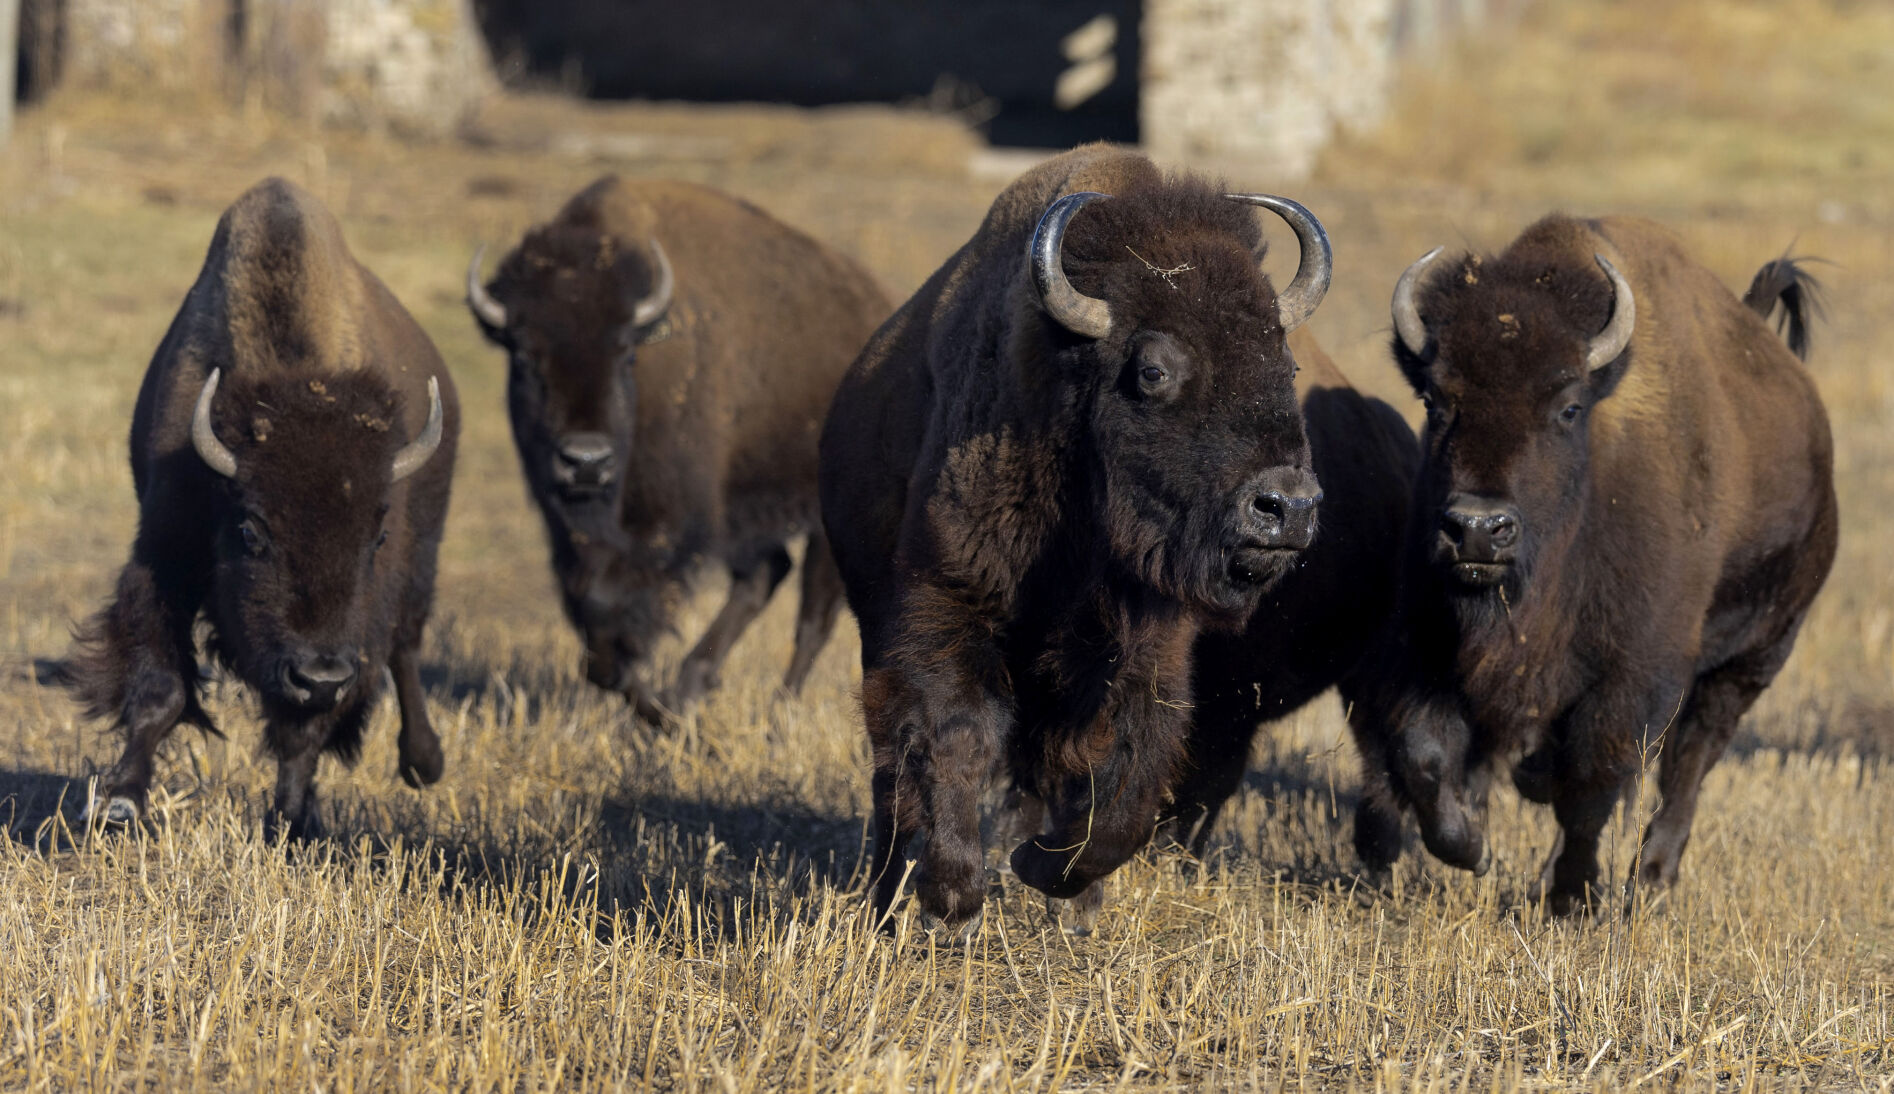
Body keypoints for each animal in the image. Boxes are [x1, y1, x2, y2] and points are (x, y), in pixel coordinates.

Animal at [69, 177, 458, 838]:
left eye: (376, 536)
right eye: (251, 530)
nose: (319, 676)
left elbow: (305, 732)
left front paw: (294, 823)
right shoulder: (165, 552)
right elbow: (159, 685)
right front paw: (120, 804)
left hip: (422, 560)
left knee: (405, 646)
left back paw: (422, 763)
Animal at [468, 176, 890, 718]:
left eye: (626, 352)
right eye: (523, 356)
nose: (587, 461)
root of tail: (878, 307)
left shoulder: (671, 521)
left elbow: (616, 610)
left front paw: (660, 713)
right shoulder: (571, 533)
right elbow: (595, 630)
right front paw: (662, 705)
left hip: (824, 522)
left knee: (813, 617)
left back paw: (774, 714)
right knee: (767, 574)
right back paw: (693, 683)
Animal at [820, 143, 1335, 932]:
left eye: (1287, 362)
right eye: (1152, 370)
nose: (1288, 506)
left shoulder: (1148, 645)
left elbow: (1131, 772)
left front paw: (1051, 873)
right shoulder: (949, 602)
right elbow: (956, 733)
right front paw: (953, 898)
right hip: (876, 626)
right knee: (892, 767)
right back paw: (886, 896)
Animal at [1356, 215, 1835, 913]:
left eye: (1569, 406)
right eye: (1435, 401)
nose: (1477, 530)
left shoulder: (1633, 671)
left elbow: (1592, 786)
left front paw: (1576, 897)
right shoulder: (1427, 648)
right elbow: (1425, 757)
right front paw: (1476, 850)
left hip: (1756, 655)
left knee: (1689, 761)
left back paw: (1652, 879)